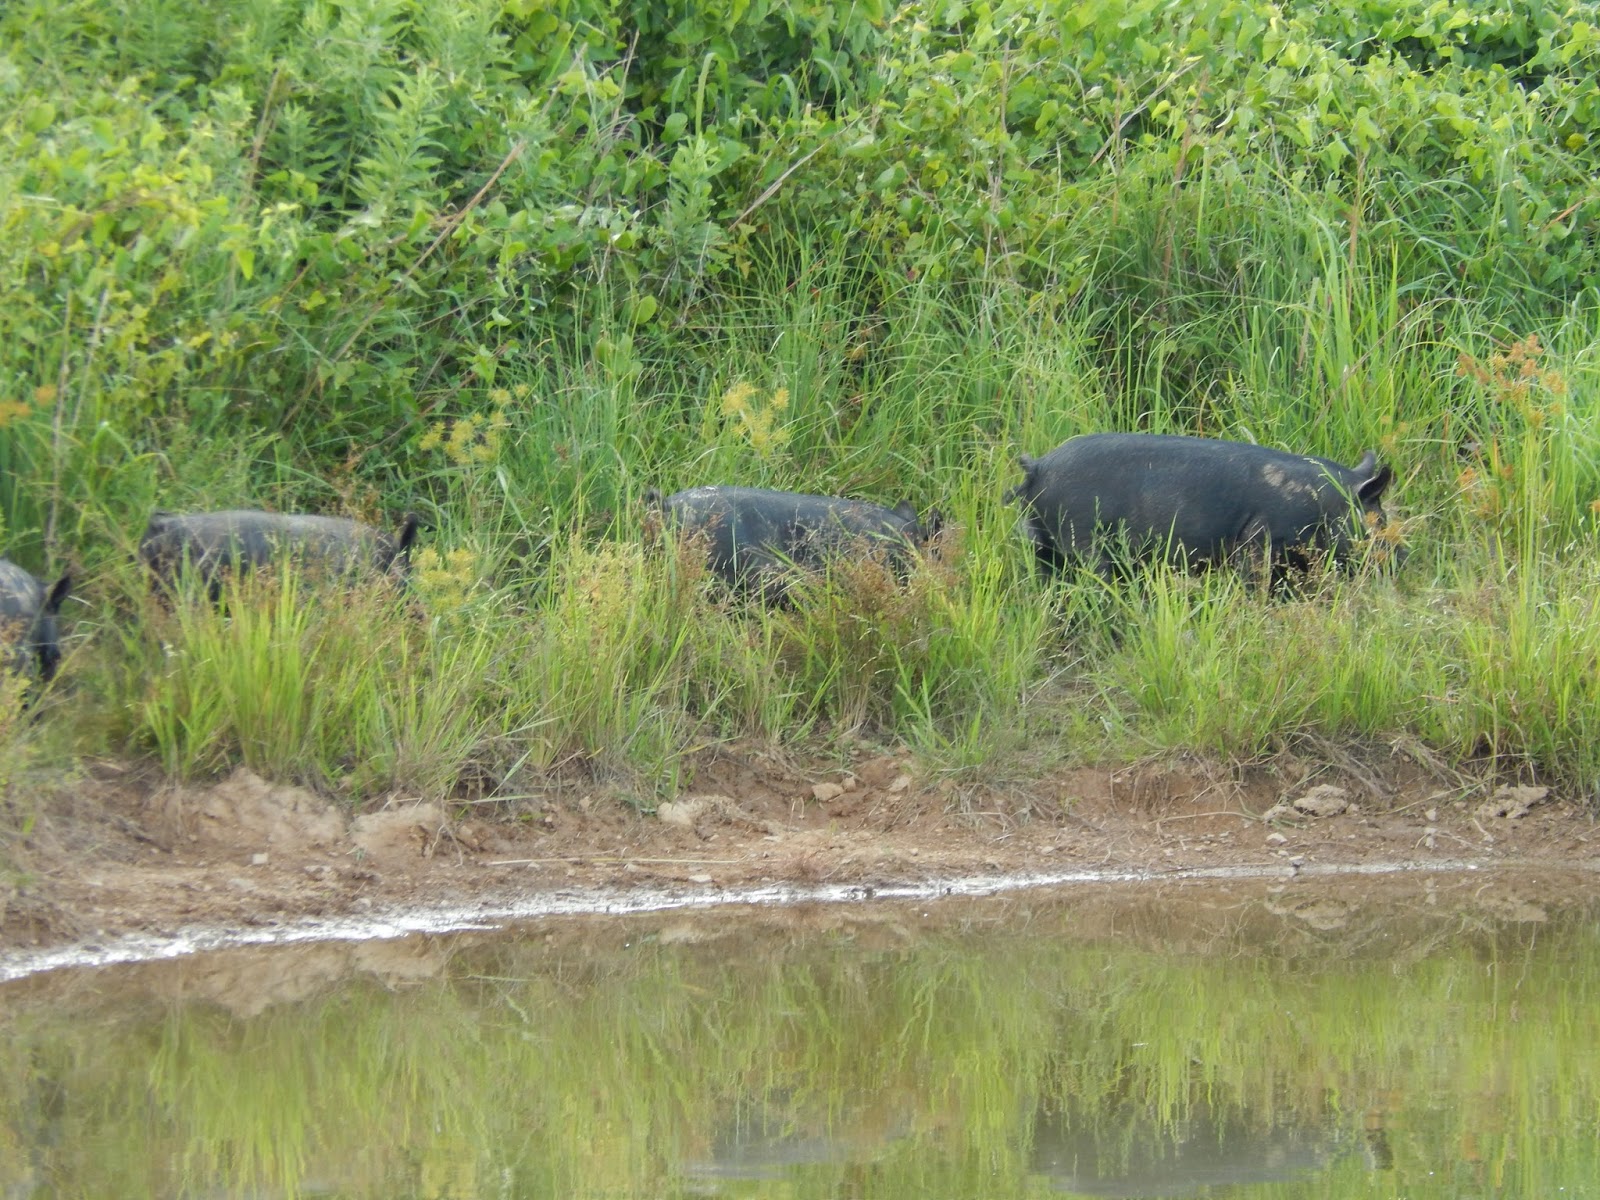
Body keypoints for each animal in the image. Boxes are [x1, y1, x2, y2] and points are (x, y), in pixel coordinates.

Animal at [1007, 433, 1396, 583]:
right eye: (1378, 521)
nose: (1402, 558)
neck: (1322, 504)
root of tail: (1038, 466)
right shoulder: (1259, 540)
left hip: (1040, 542)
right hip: (1083, 541)